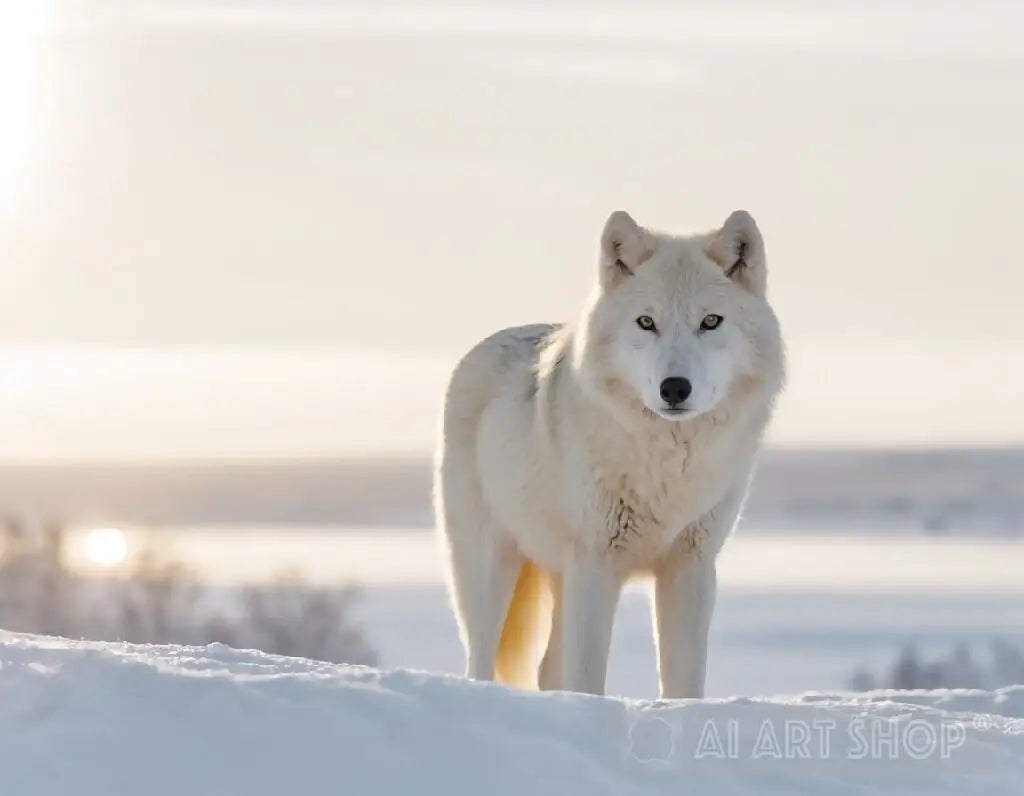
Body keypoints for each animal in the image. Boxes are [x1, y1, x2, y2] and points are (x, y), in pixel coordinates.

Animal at [434, 210, 784, 698]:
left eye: (711, 321)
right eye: (646, 322)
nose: (674, 388)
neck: (665, 464)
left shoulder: (691, 567)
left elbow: (683, 680)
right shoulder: (595, 563)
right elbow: (586, 674)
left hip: (558, 577)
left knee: (547, 668)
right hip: (490, 573)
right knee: (481, 661)